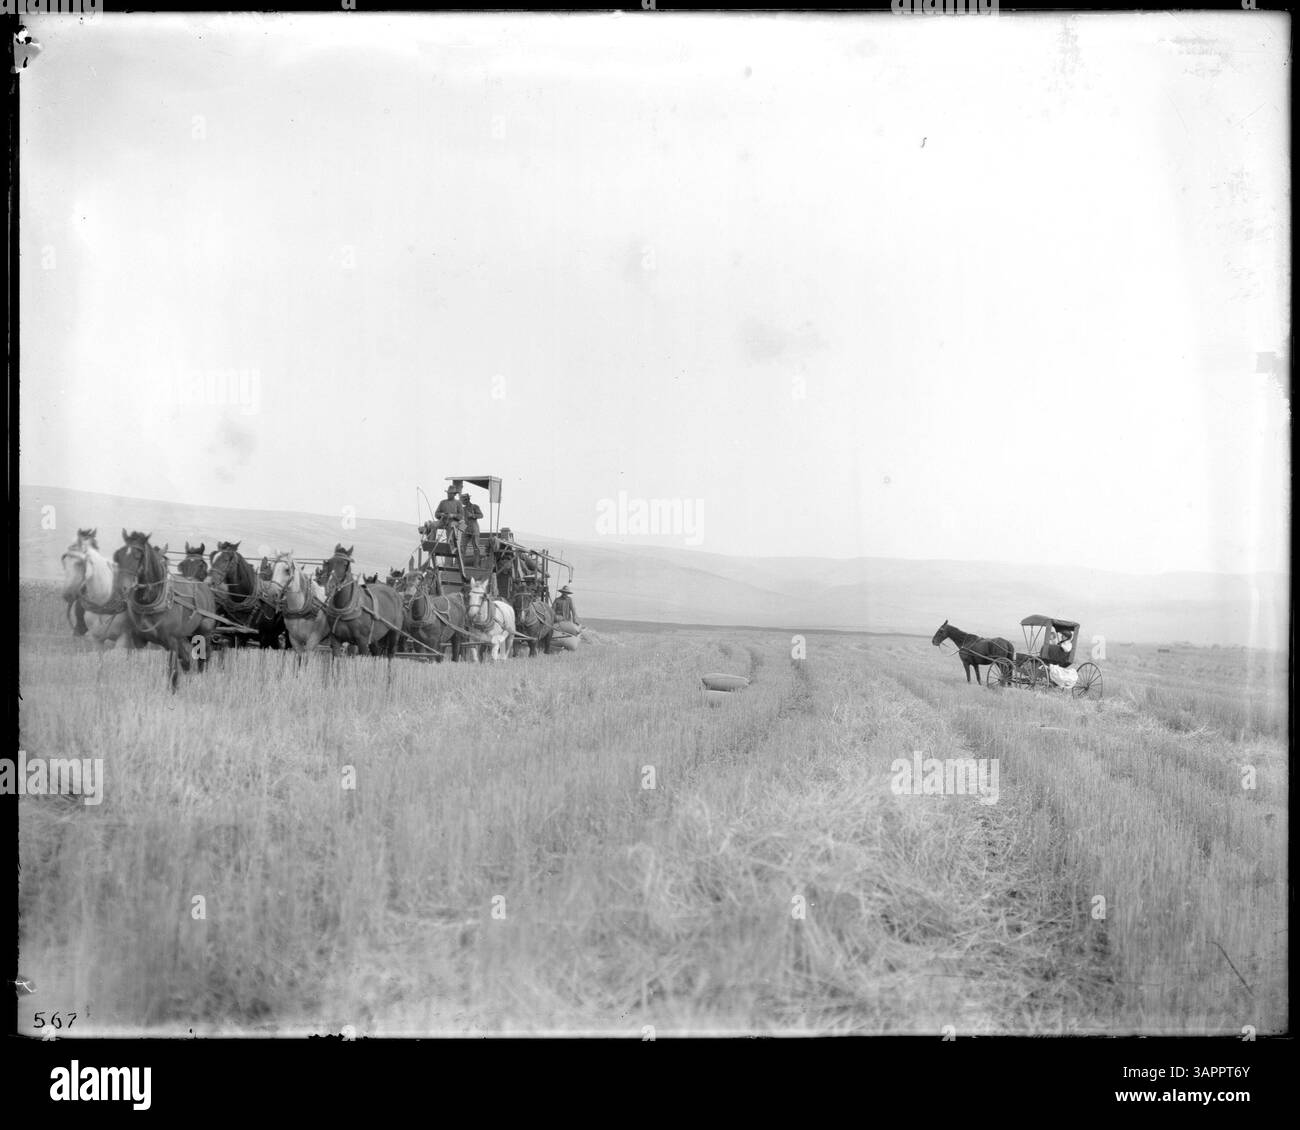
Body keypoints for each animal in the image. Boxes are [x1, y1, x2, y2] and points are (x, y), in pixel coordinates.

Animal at [114, 529, 216, 690]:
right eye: (118, 555)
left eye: (138, 555)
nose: (121, 588)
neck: (152, 602)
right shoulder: (138, 640)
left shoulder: (172, 642)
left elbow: (172, 672)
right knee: (187, 659)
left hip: (204, 633)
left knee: (203, 659)